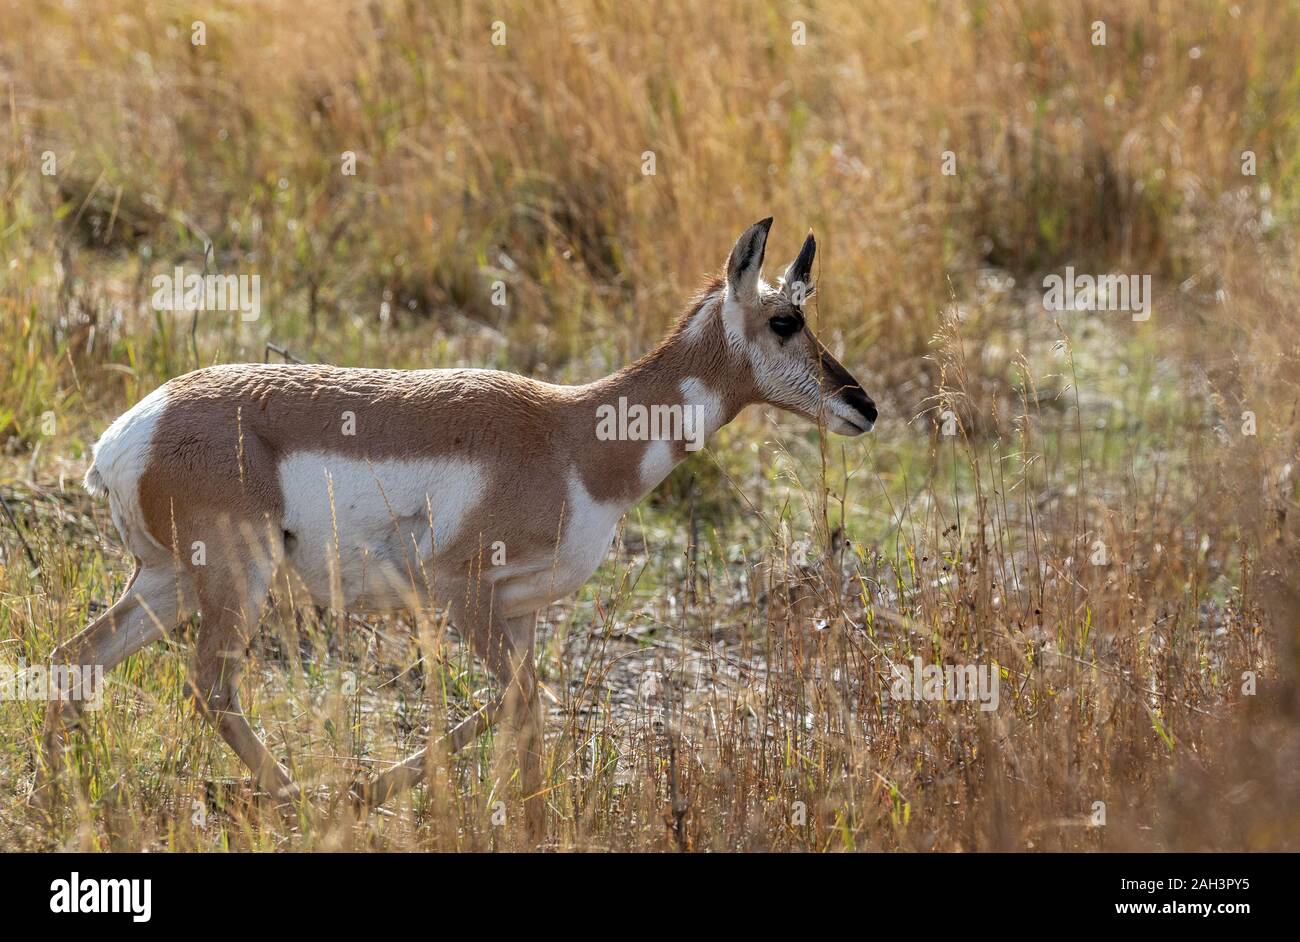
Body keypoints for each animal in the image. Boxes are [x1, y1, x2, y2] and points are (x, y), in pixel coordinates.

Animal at [35, 218, 877, 839]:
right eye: (784, 319)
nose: (862, 406)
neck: (575, 434)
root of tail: (130, 431)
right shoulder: (461, 594)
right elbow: (523, 704)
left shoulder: (521, 611)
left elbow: (515, 710)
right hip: (235, 582)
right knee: (207, 684)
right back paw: (300, 799)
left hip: (169, 584)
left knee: (75, 660)